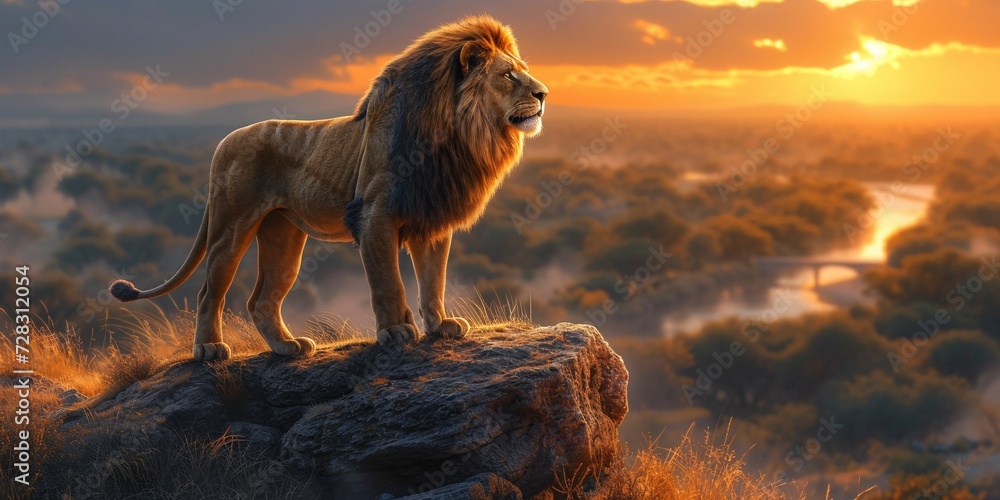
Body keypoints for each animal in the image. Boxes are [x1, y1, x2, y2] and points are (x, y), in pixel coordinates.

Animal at [109, 15, 548, 361]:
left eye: (523, 69)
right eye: (508, 75)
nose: (544, 93)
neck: (458, 136)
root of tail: (223, 141)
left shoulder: (430, 214)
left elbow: (433, 280)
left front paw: (440, 326)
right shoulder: (374, 214)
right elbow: (387, 282)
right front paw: (395, 332)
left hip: (283, 236)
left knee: (260, 300)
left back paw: (288, 348)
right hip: (230, 227)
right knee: (208, 293)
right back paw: (208, 349)